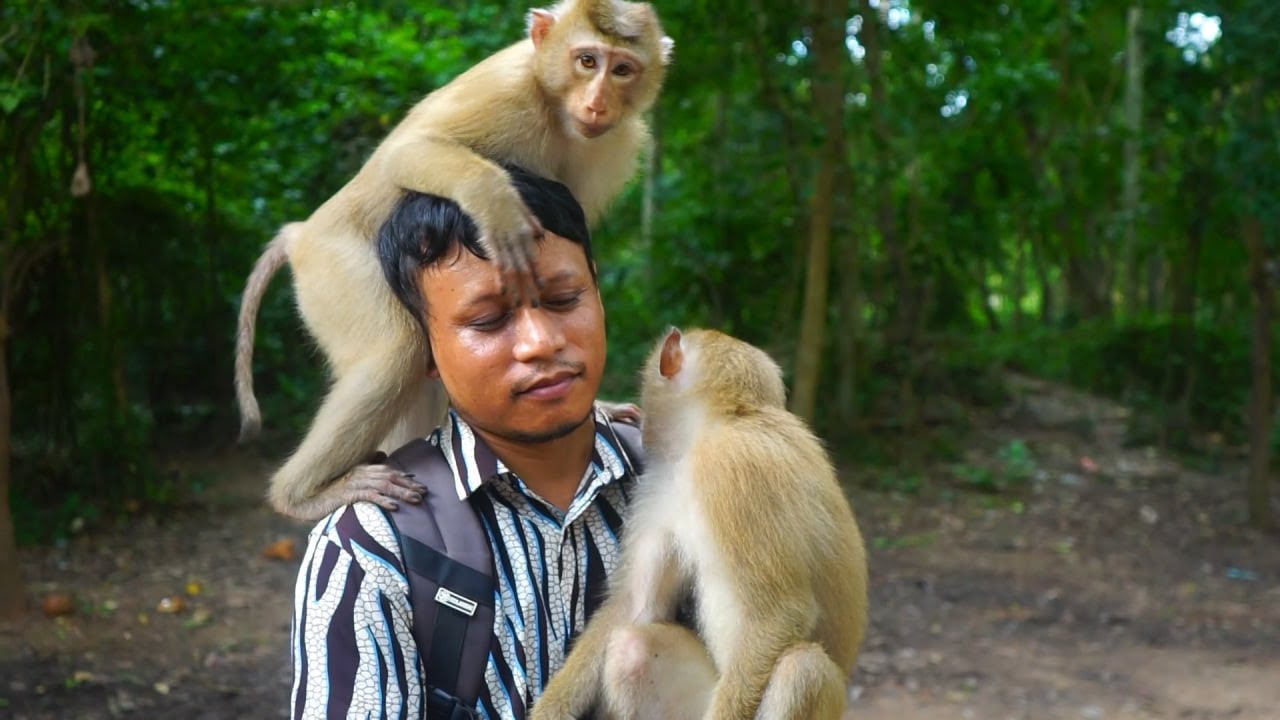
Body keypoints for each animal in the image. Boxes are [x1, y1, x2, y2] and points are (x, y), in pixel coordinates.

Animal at [233, 0, 673, 521]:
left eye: (622, 69)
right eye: (587, 61)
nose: (598, 102)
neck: (554, 109)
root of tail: (300, 234)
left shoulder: (614, 143)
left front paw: (600, 404)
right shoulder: (506, 88)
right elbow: (408, 152)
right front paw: (495, 204)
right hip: (332, 268)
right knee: (395, 351)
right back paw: (300, 495)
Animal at [530, 328, 869, 720]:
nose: (637, 420)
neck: (726, 419)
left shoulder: (730, 467)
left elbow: (780, 612)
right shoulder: (664, 489)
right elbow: (637, 606)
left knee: (802, 669)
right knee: (633, 648)